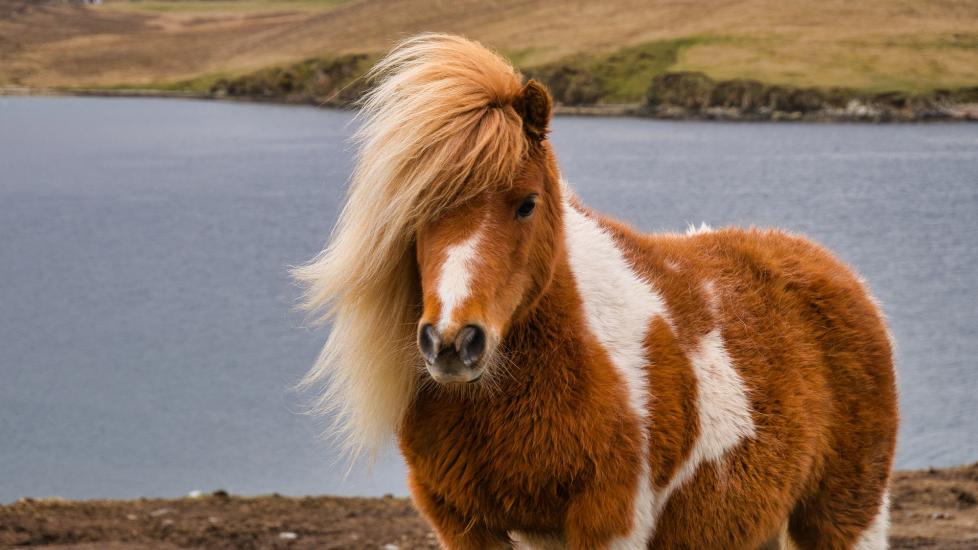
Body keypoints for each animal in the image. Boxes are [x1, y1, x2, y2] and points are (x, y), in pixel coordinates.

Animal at [294, 33, 899, 550]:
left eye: (527, 203)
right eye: (416, 209)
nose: (452, 343)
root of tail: (837, 273)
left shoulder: (607, 522)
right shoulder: (465, 525)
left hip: (844, 518)